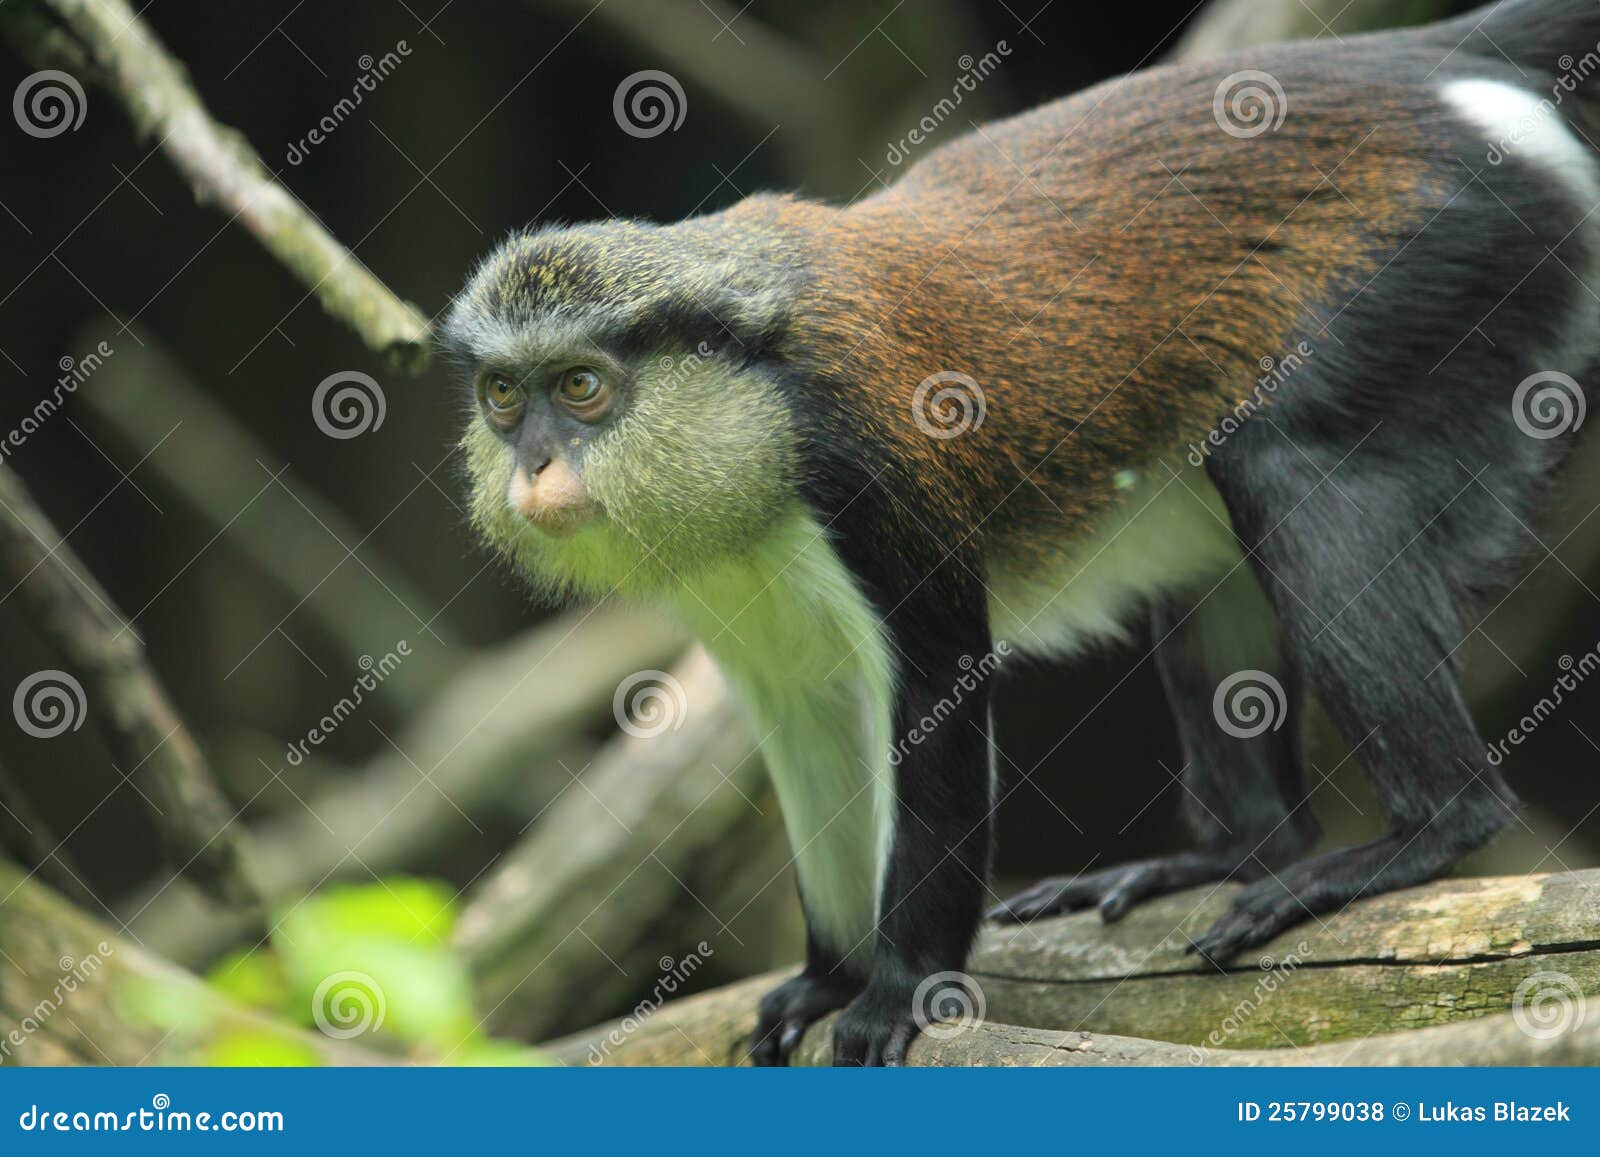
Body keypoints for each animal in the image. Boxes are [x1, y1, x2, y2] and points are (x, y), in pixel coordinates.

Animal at [442, 0, 1600, 1065]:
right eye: (504, 396)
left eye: (581, 388)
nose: (534, 469)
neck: (755, 396)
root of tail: (1425, 58)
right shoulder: (743, 612)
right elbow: (809, 715)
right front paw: (829, 976)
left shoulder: (872, 479)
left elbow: (939, 701)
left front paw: (892, 990)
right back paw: (1242, 849)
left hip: (1444, 255)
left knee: (1284, 467)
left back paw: (1423, 828)